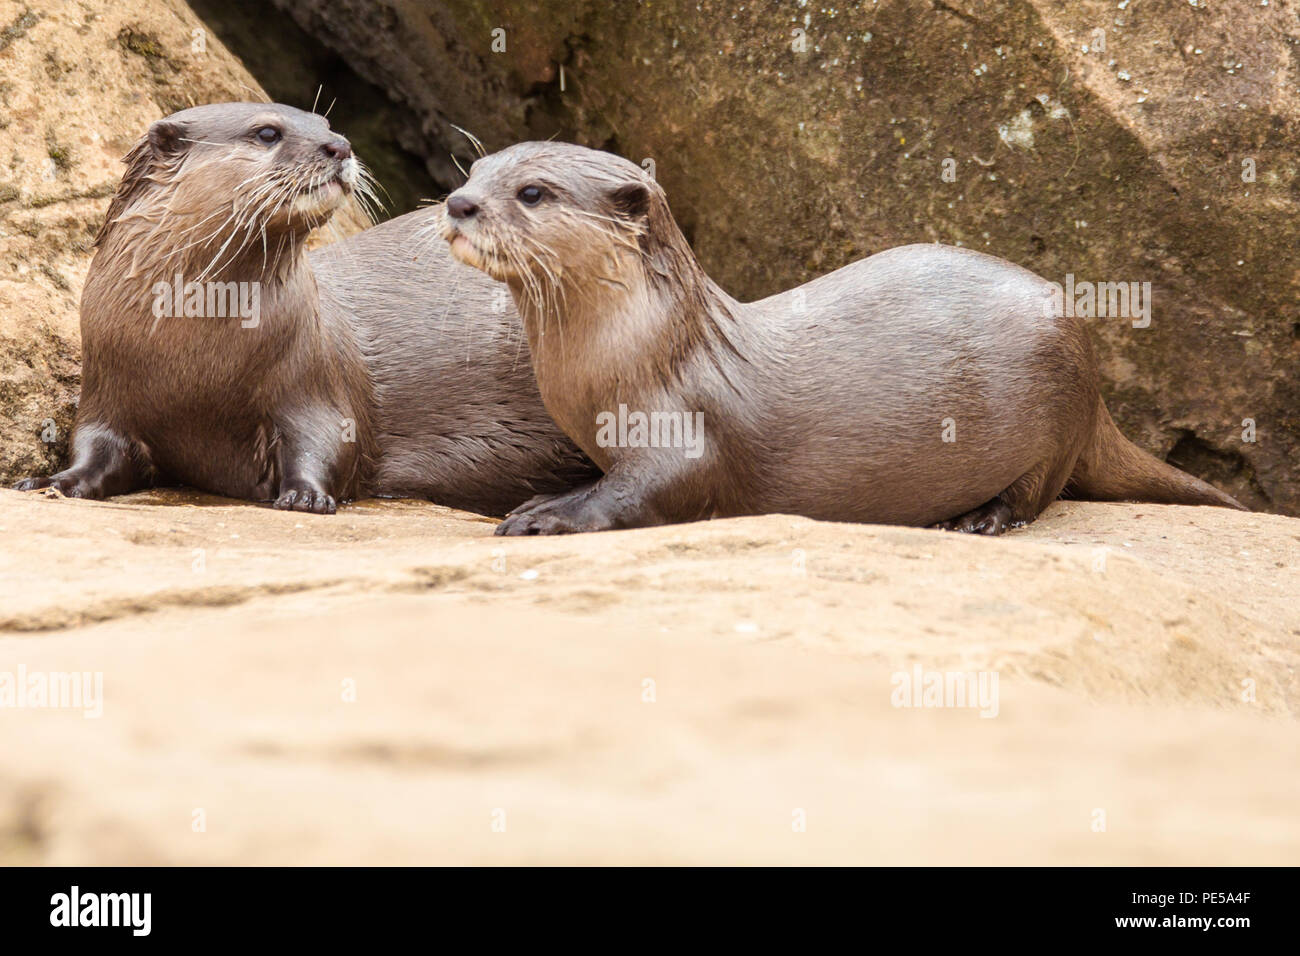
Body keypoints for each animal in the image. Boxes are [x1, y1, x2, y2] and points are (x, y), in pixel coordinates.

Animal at [13, 104, 596, 514]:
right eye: (268, 132)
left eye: (326, 123)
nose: (339, 145)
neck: (193, 356)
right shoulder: (107, 385)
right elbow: (94, 446)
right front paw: (53, 481)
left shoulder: (311, 375)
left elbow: (325, 440)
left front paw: (306, 495)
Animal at [439, 141, 1244, 536]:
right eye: (474, 170)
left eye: (532, 192)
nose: (457, 202)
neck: (625, 357)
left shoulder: (682, 425)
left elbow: (652, 487)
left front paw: (547, 514)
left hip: (1056, 406)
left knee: (1039, 490)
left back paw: (978, 519)